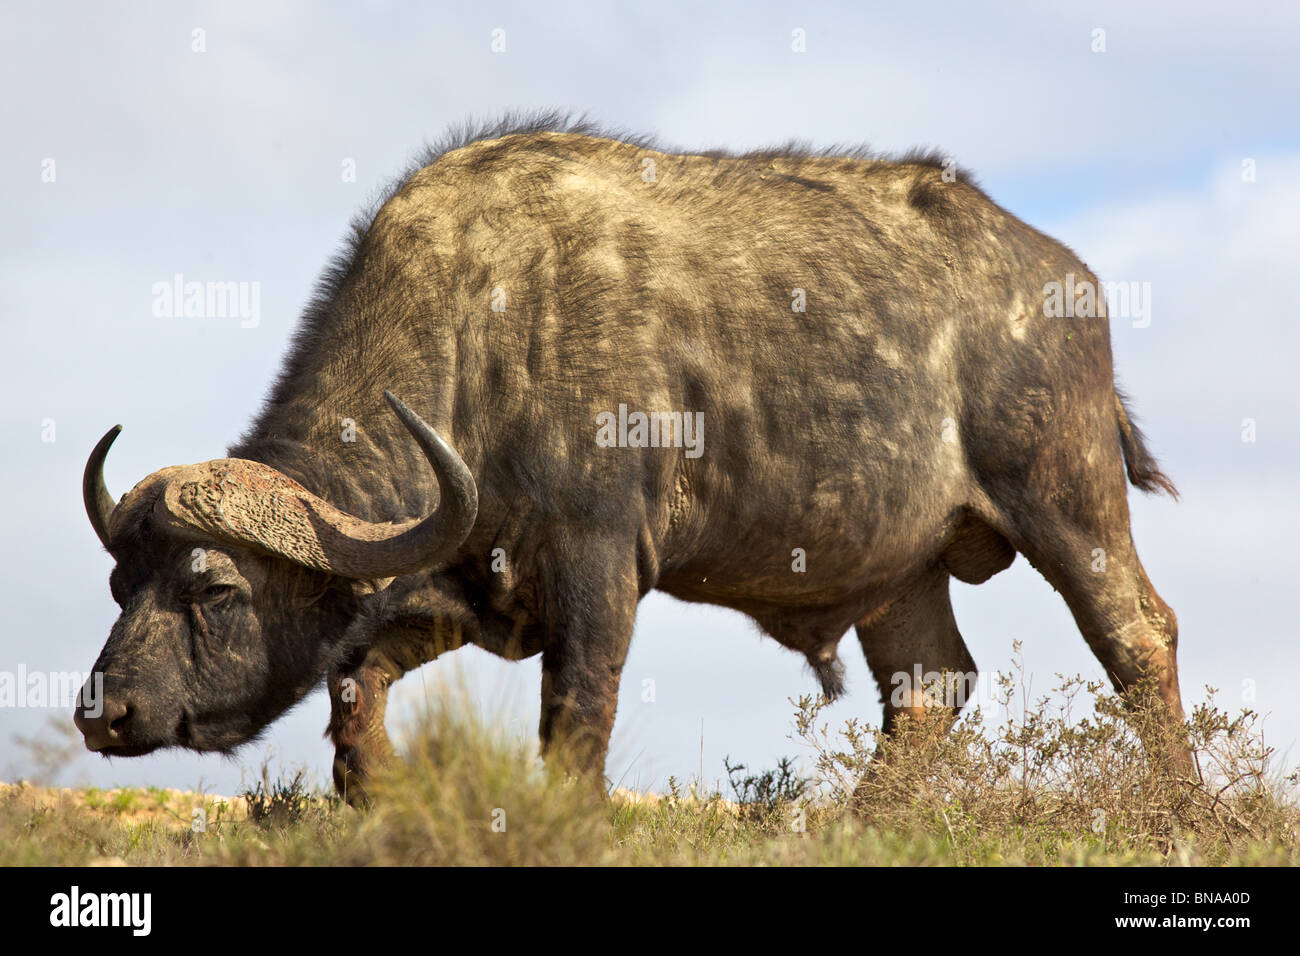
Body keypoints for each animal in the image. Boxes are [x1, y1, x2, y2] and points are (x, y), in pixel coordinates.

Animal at [75, 114, 1188, 803]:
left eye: (214, 586)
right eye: (121, 583)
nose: (105, 712)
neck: (487, 338)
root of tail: (1066, 276)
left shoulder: (598, 564)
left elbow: (577, 719)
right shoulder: (458, 587)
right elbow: (355, 688)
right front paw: (374, 791)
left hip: (1066, 498)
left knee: (1138, 636)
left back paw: (1183, 808)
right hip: (900, 570)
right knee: (931, 685)